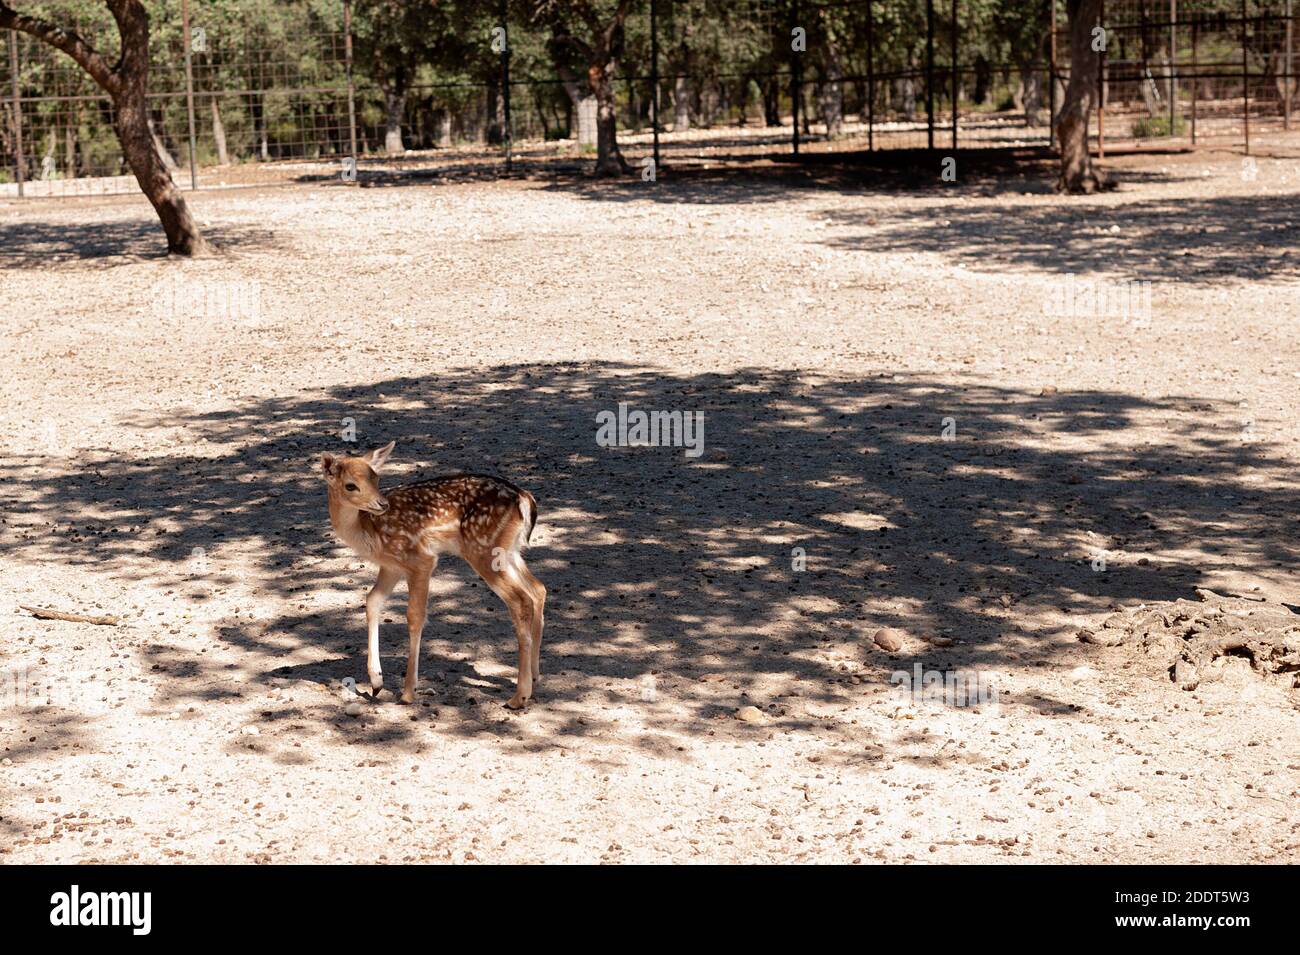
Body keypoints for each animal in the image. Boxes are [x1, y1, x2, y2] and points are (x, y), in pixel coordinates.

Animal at [319, 441, 546, 710]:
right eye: (350, 485)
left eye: (376, 477)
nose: (382, 504)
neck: (369, 531)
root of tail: (525, 500)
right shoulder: (391, 567)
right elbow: (372, 601)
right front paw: (376, 682)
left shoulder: (420, 560)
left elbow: (414, 617)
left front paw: (408, 691)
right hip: (509, 552)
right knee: (537, 589)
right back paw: (535, 676)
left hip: (483, 549)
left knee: (521, 600)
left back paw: (519, 696)